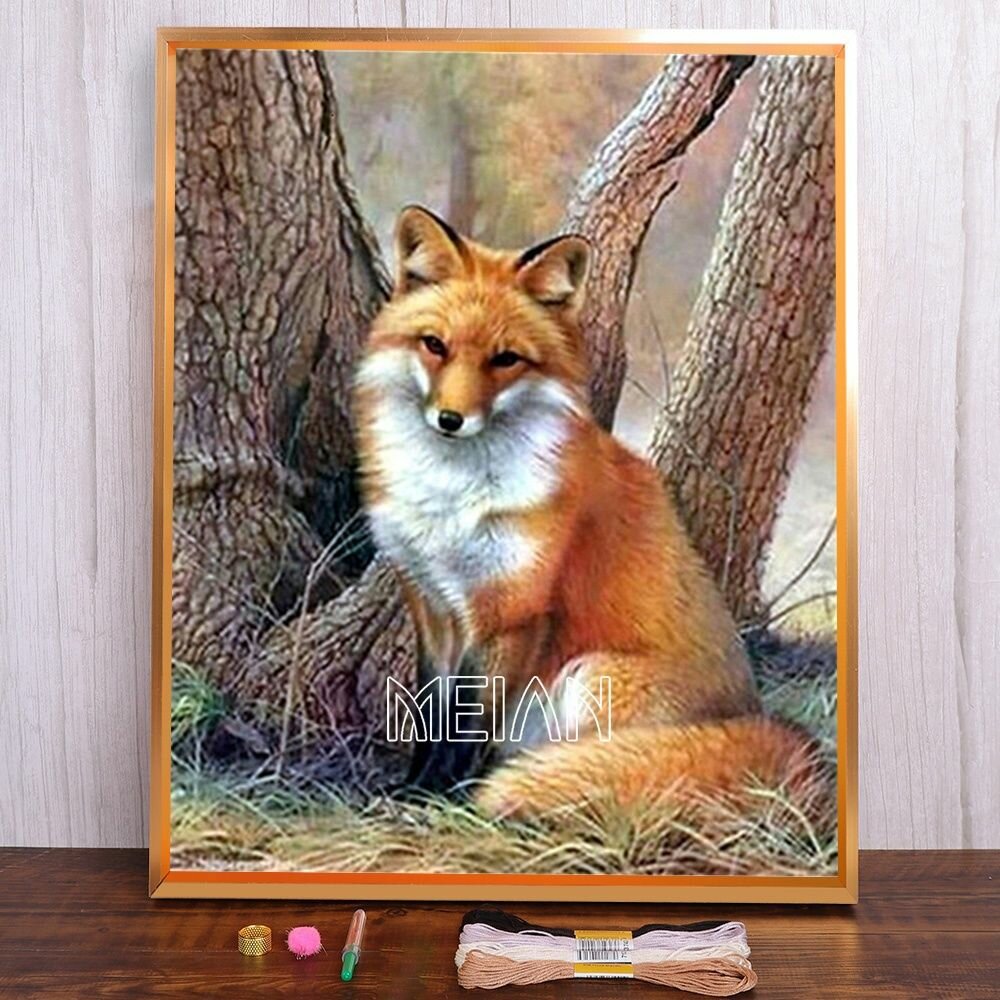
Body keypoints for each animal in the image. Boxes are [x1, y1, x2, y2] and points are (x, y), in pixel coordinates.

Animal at [354, 205, 818, 821]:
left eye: (505, 359)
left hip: (587, 678)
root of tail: (756, 716)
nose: (450, 419)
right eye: (435, 345)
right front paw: (412, 786)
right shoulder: (432, 603)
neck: (453, 497)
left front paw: (440, 797)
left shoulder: (511, 610)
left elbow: (464, 726)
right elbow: (431, 714)